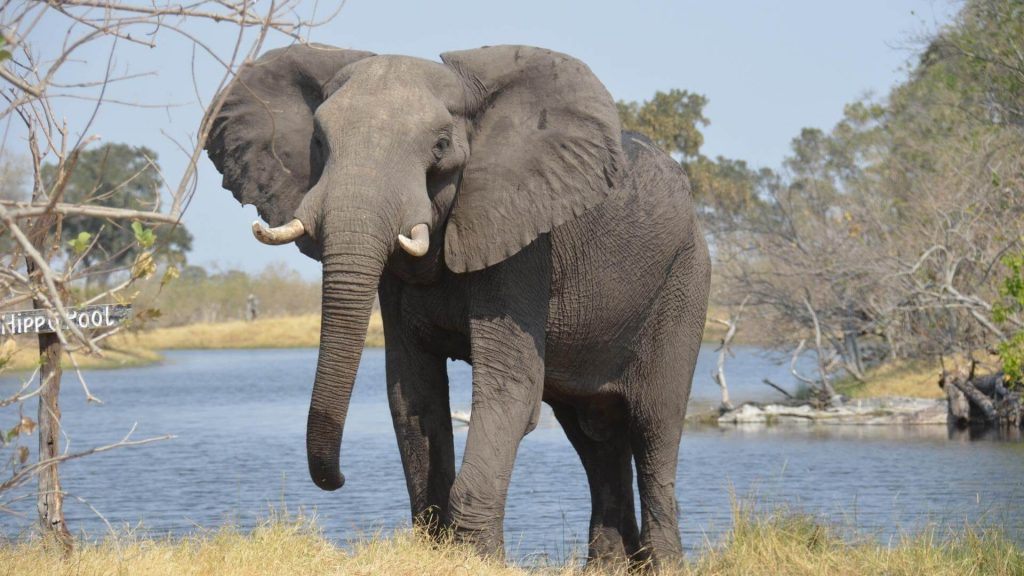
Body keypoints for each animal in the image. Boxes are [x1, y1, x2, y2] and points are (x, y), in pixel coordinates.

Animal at [204, 43, 710, 569]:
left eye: (441, 146)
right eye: (319, 142)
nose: (339, 479)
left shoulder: (522, 242)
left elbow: (511, 390)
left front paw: (479, 559)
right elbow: (412, 392)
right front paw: (438, 547)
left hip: (685, 280)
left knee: (655, 425)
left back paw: (665, 564)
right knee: (594, 435)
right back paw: (608, 567)